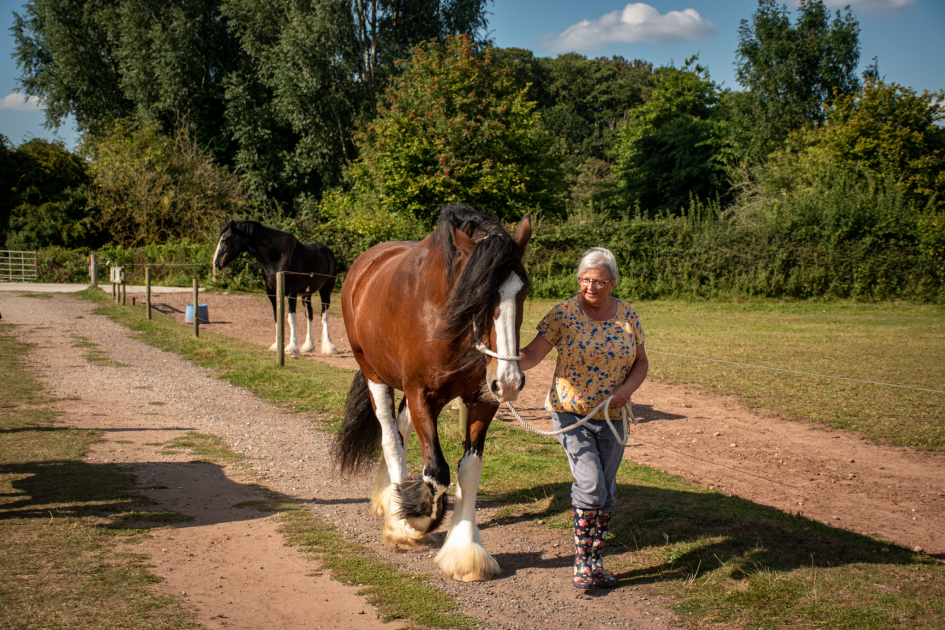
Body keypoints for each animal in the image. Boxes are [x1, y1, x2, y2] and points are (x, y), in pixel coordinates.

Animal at [212, 220, 339, 355]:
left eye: (224, 240)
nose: (216, 264)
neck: (277, 258)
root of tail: (329, 252)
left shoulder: (291, 292)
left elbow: (291, 318)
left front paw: (292, 347)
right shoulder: (271, 292)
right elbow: (276, 316)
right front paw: (277, 345)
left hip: (325, 290)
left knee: (324, 316)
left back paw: (329, 346)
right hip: (306, 293)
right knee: (309, 314)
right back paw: (309, 346)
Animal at [333, 204, 531, 582]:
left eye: (524, 291)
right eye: (479, 294)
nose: (510, 381)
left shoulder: (481, 401)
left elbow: (468, 470)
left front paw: (465, 549)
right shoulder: (421, 394)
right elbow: (436, 472)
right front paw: (414, 521)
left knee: (402, 429)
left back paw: (390, 497)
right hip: (375, 375)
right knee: (391, 438)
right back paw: (398, 516)